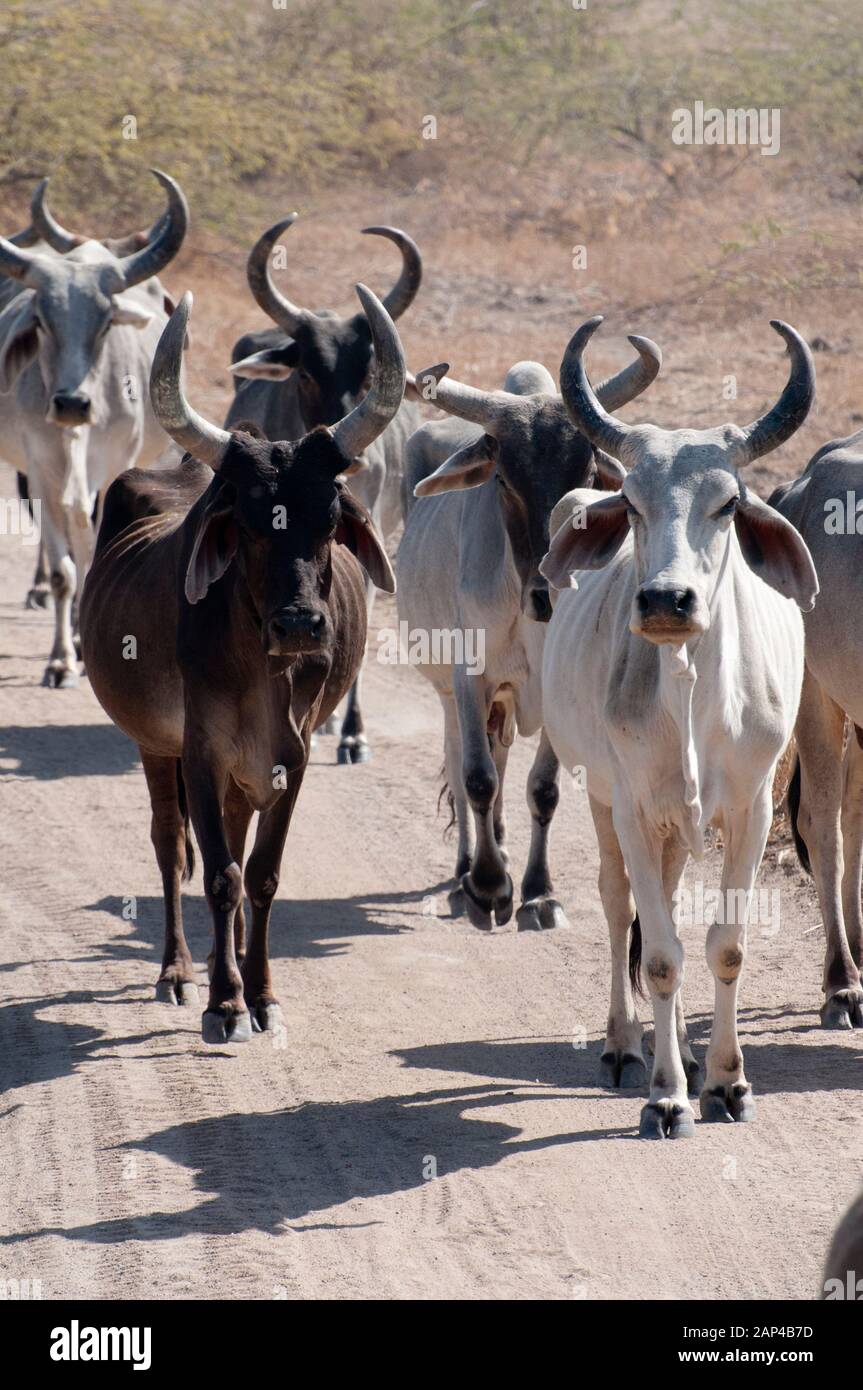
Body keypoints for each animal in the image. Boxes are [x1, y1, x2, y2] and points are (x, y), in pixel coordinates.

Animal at [0, 169, 188, 687]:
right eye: (43, 320)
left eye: (106, 322)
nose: (71, 403)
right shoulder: (40, 470)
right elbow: (63, 569)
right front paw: (61, 659)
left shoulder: (111, 469)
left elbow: (94, 553)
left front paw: (86, 648)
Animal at [80, 285, 404, 1044]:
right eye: (253, 525)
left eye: (328, 520)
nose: (301, 625)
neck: (263, 671)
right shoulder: (200, 750)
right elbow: (220, 874)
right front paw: (224, 1002)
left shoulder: (292, 755)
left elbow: (260, 874)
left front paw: (262, 996)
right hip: (154, 744)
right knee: (171, 846)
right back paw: (177, 971)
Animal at [395, 332, 661, 931]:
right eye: (503, 479)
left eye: (588, 477)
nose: (549, 590)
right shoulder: (469, 677)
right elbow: (477, 777)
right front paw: (489, 886)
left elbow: (542, 789)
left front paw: (539, 892)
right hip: (449, 691)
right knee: (462, 764)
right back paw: (467, 868)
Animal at [540, 316, 818, 1137]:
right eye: (631, 503)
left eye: (727, 503)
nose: (667, 600)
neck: (694, 698)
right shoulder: (633, 807)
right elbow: (659, 953)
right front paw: (666, 1095)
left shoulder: (752, 809)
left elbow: (724, 947)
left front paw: (725, 1080)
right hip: (604, 800)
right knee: (619, 906)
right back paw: (624, 1045)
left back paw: (689, 1057)